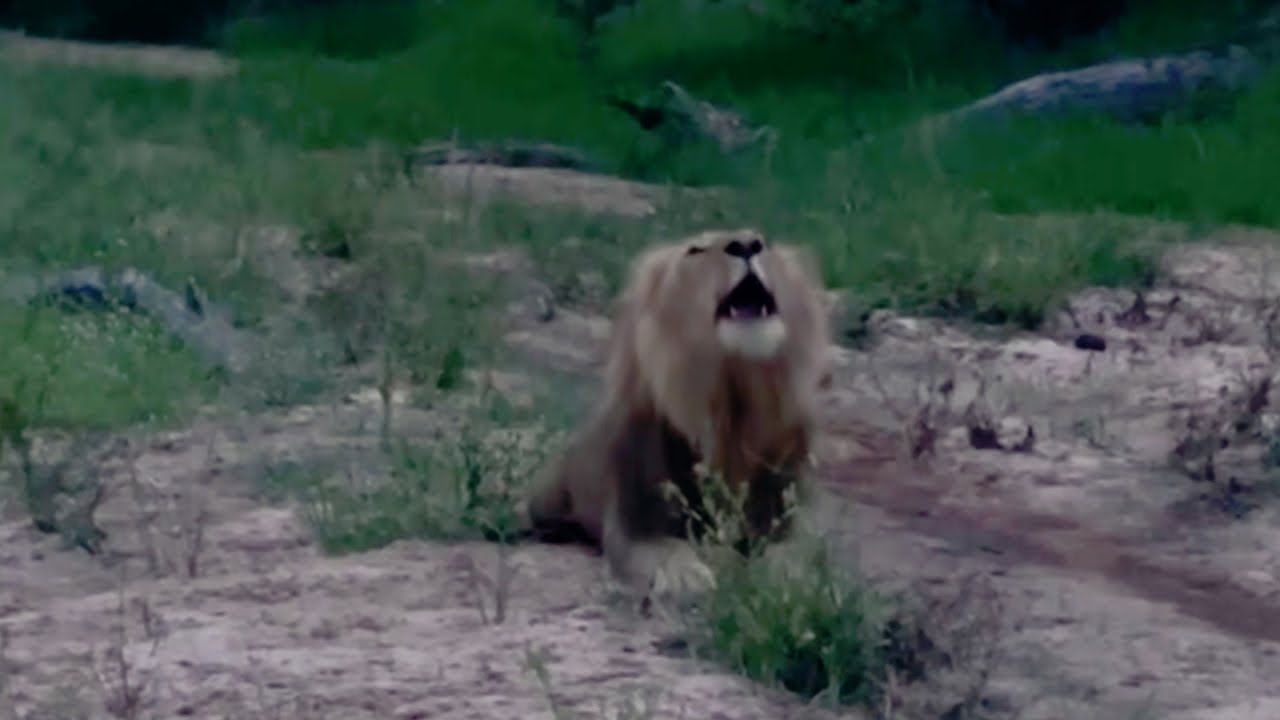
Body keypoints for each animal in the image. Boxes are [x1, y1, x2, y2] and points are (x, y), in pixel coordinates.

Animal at [524, 228, 832, 600]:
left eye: (764, 242)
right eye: (695, 250)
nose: (747, 244)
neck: (732, 403)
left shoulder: (791, 506)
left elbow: (797, 551)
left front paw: (788, 579)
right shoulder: (637, 518)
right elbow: (666, 549)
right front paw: (687, 577)